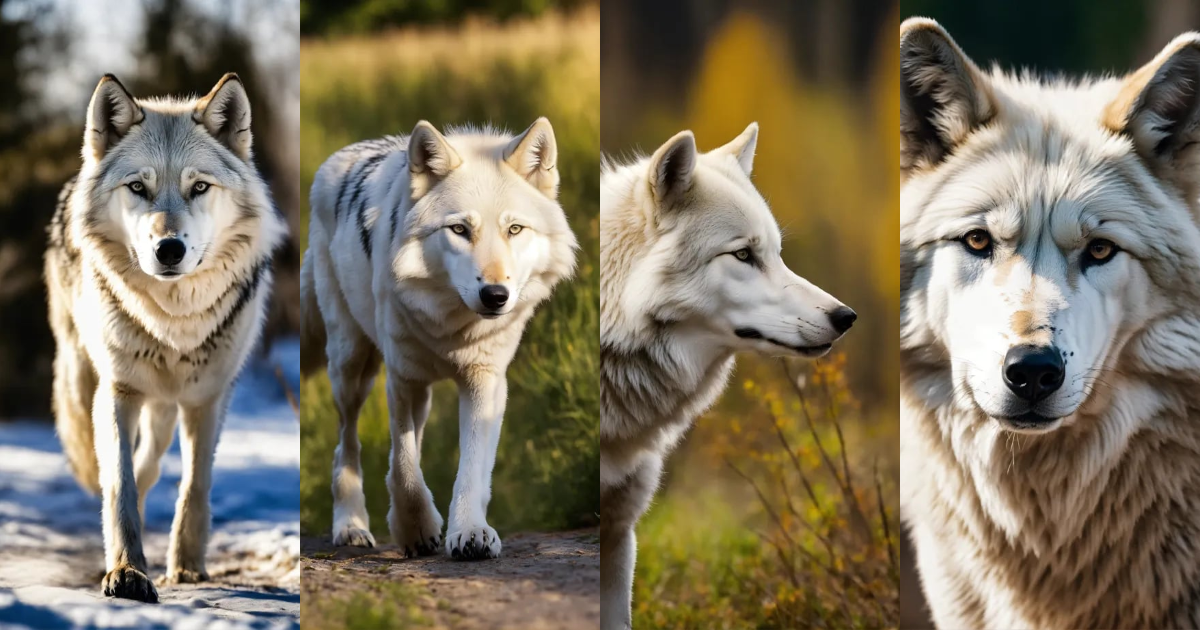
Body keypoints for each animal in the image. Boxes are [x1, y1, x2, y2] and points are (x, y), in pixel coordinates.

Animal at [47, 73, 286, 602]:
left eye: (199, 187)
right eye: (138, 187)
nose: (170, 249)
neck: (174, 322)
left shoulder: (208, 398)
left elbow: (195, 483)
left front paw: (188, 567)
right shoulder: (117, 393)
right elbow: (119, 483)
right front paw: (127, 572)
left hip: (164, 406)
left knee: (152, 463)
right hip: (87, 377)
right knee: (120, 467)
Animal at [302, 119, 577, 559]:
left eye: (515, 229)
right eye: (460, 230)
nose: (495, 295)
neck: (453, 329)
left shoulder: (485, 381)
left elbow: (471, 466)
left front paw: (470, 531)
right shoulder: (402, 379)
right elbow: (403, 466)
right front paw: (416, 531)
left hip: (417, 393)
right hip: (351, 367)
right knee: (346, 443)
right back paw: (351, 525)